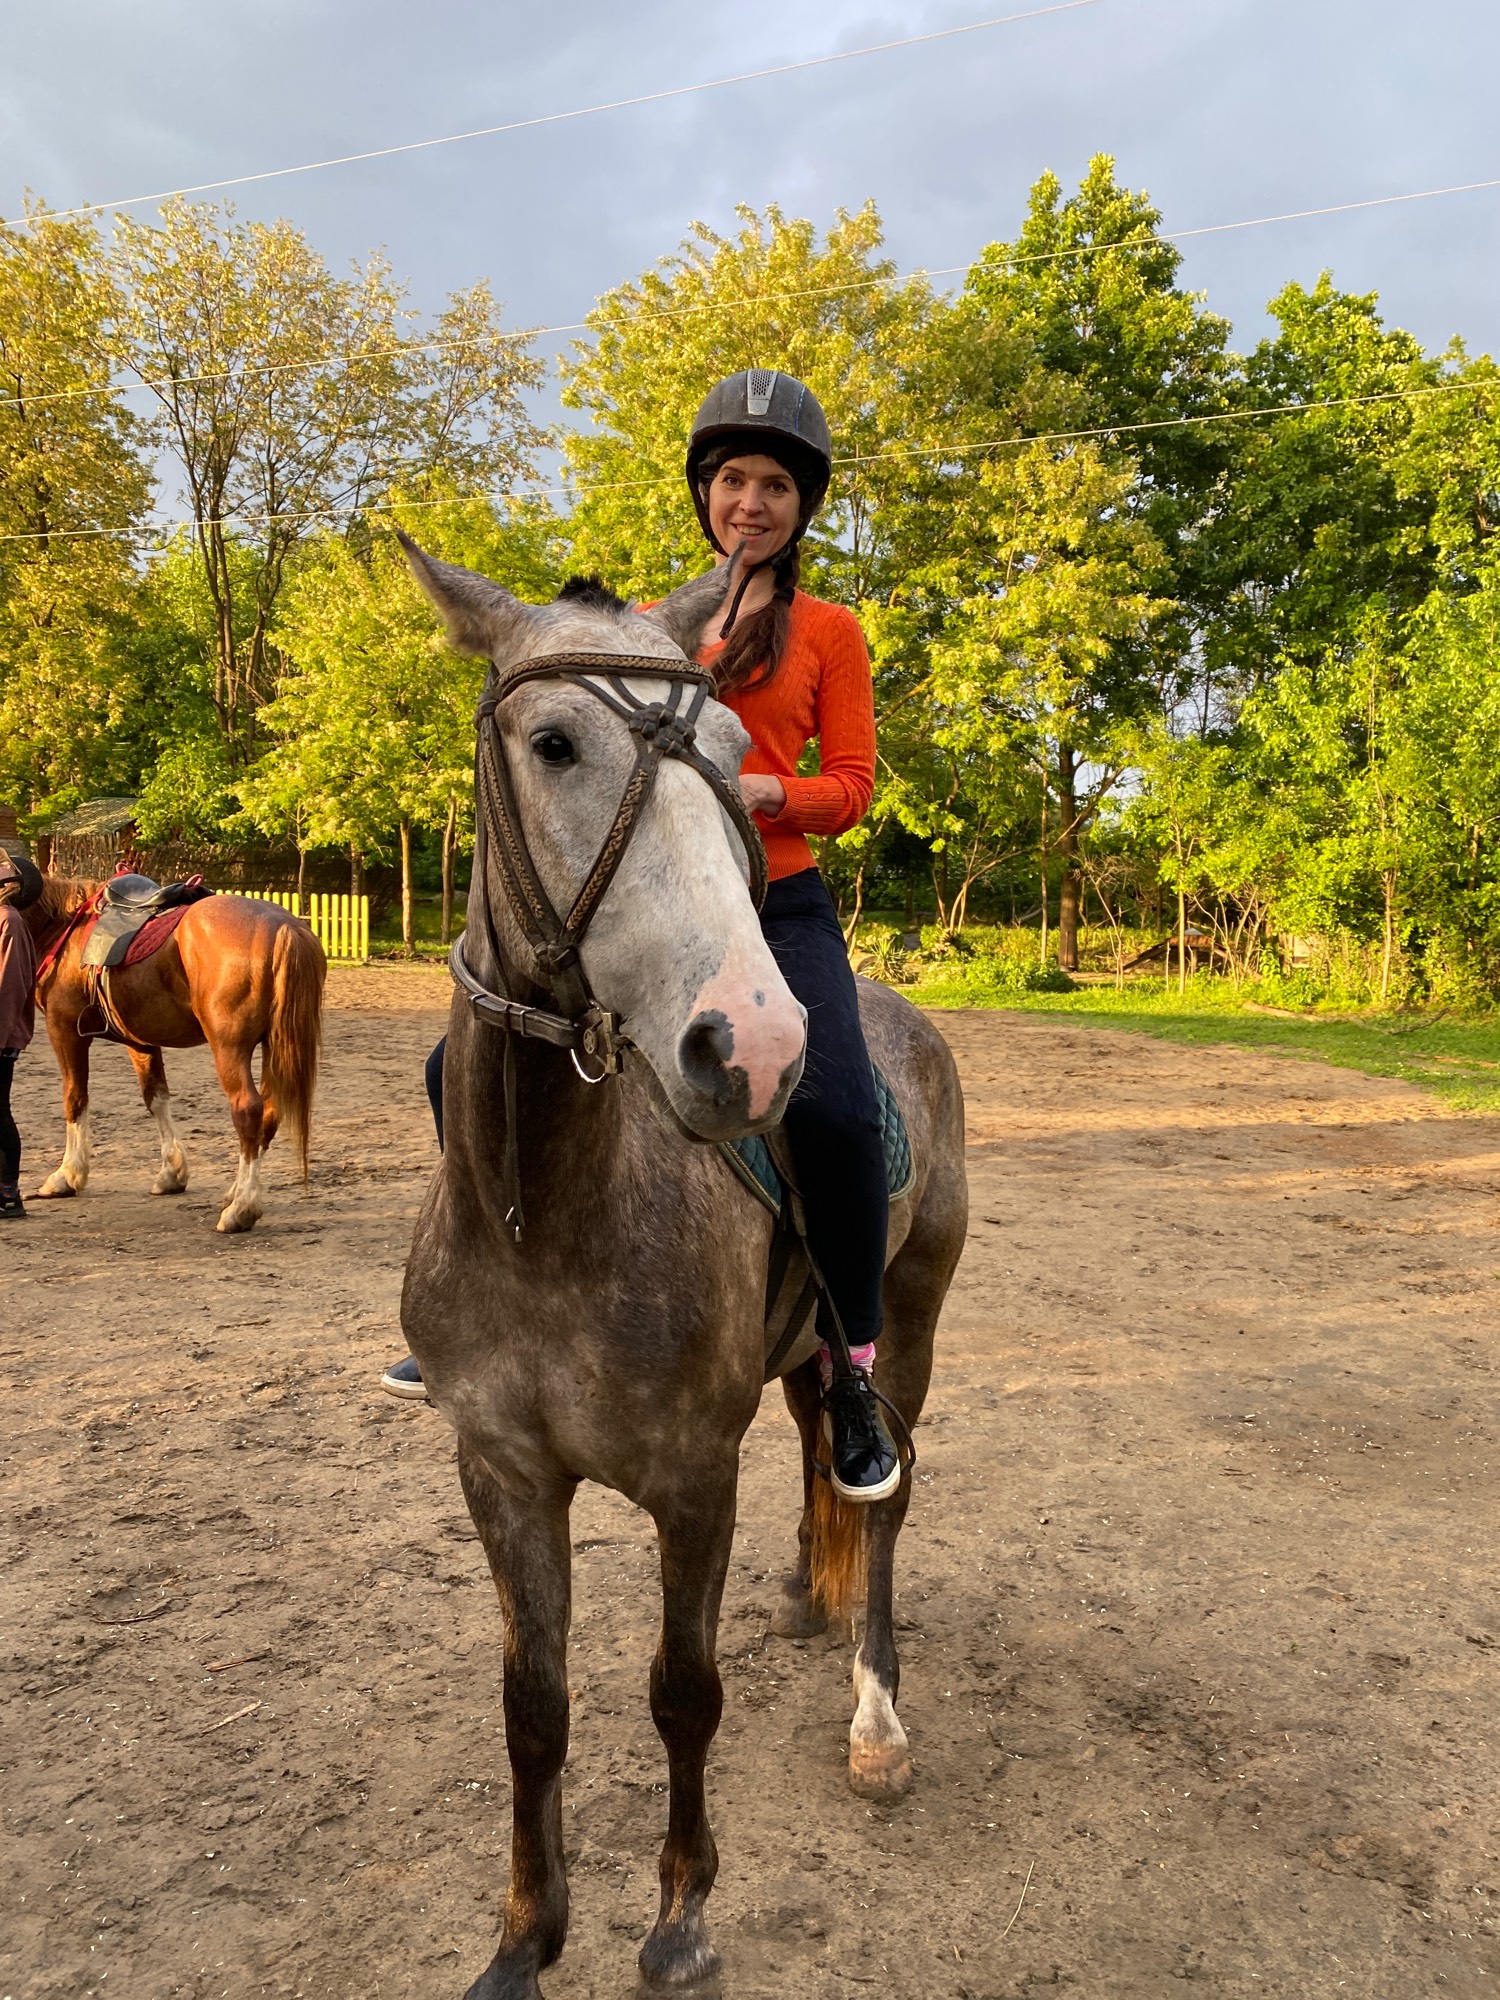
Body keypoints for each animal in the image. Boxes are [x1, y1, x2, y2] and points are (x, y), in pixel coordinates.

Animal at [20, 880, 328, 1224]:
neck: (64, 928)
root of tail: (283, 926)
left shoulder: (64, 1031)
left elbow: (75, 1099)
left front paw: (68, 1175)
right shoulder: (140, 1041)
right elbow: (157, 1099)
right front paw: (172, 1173)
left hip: (230, 1049)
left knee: (248, 1110)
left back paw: (241, 1207)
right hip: (274, 1047)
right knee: (271, 1113)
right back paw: (237, 1194)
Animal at [400, 548, 968, 2000]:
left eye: (728, 758)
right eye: (553, 743)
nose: (754, 1048)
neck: (550, 1219)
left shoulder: (690, 1480)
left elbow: (681, 1693)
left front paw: (680, 1918)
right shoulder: (501, 1470)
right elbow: (532, 1705)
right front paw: (523, 1939)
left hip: (912, 1321)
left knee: (883, 1497)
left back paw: (877, 1717)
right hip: (810, 1351)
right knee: (823, 1442)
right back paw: (809, 1597)